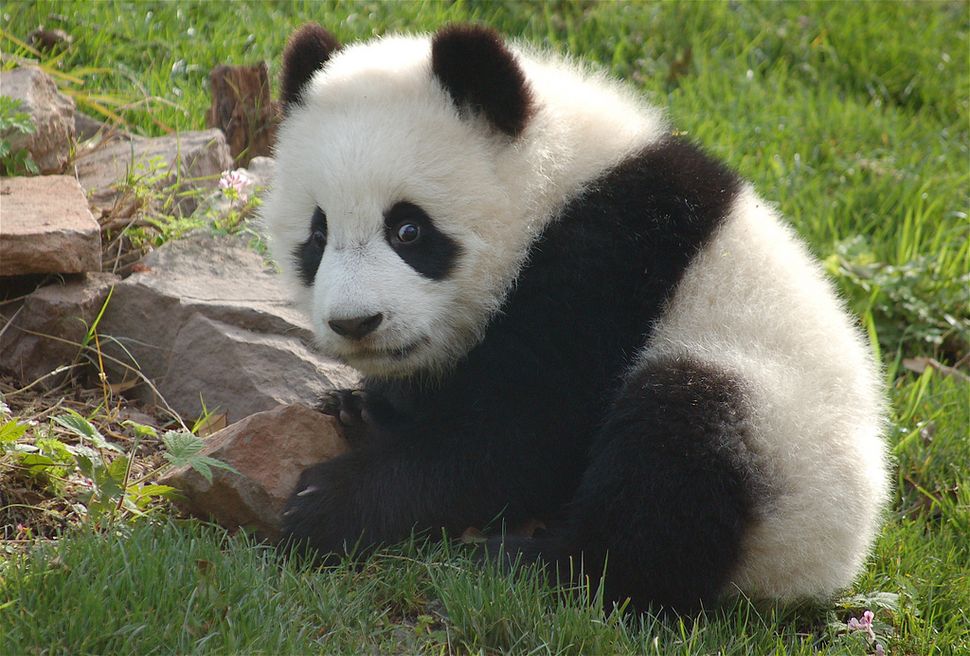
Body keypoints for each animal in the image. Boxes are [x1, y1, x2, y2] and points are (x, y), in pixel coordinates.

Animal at [262, 23, 890, 613]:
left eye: (408, 230)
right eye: (317, 236)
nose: (355, 323)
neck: (554, 183)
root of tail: (828, 569)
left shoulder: (607, 264)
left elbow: (524, 432)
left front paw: (324, 506)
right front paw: (361, 409)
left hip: (781, 446)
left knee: (675, 462)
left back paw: (531, 562)